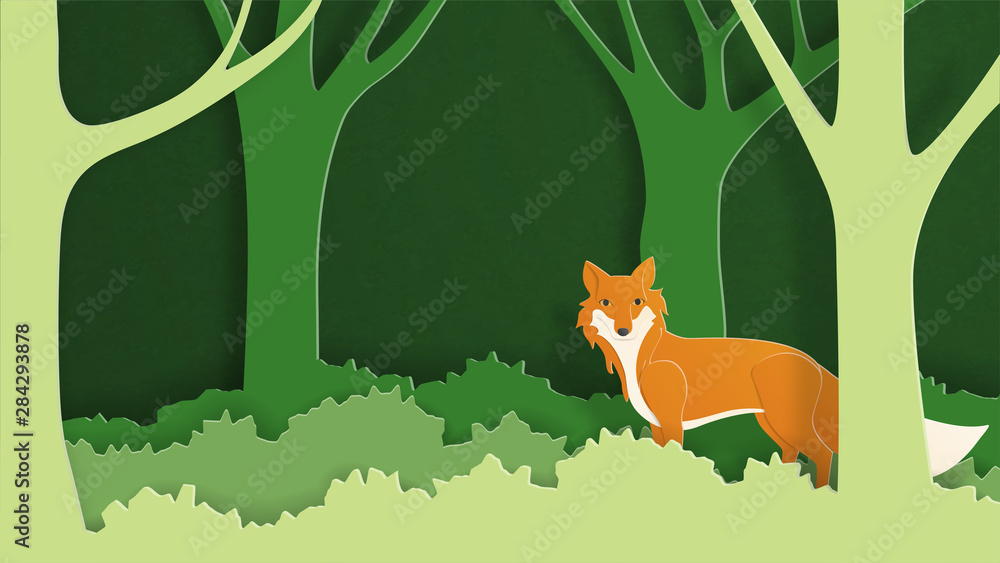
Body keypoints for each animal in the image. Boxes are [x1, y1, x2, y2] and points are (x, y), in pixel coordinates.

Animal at [578, 257, 840, 487]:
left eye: (637, 302)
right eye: (606, 303)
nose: (623, 331)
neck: (640, 356)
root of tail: (811, 359)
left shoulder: (672, 422)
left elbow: (673, 458)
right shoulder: (655, 423)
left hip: (787, 424)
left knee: (824, 453)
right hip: (771, 424)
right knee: (791, 453)